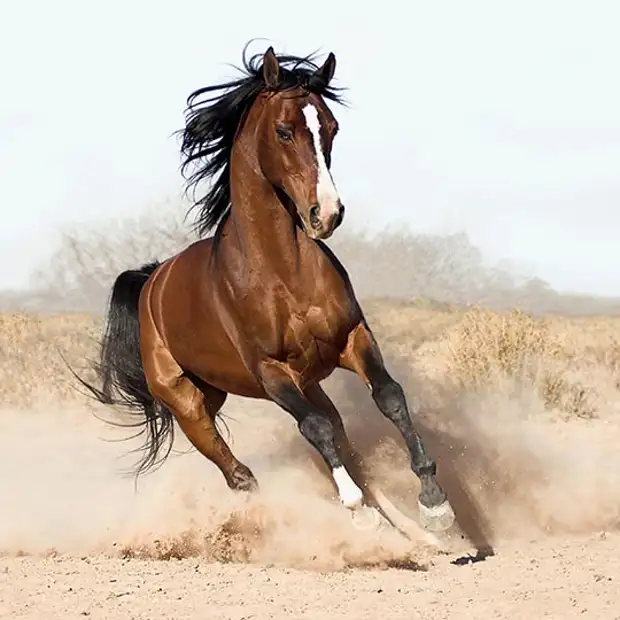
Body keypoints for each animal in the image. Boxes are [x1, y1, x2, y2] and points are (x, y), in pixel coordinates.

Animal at [83, 44, 456, 532]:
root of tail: (152, 281)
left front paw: (434, 502)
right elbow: (315, 429)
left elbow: (389, 397)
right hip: (188, 403)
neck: (283, 273)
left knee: (334, 430)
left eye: (331, 127)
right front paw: (356, 507)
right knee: (239, 472)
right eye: (283, 131)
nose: (327, 214)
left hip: (290, 383)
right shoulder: (271, 372)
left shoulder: (353, 338)